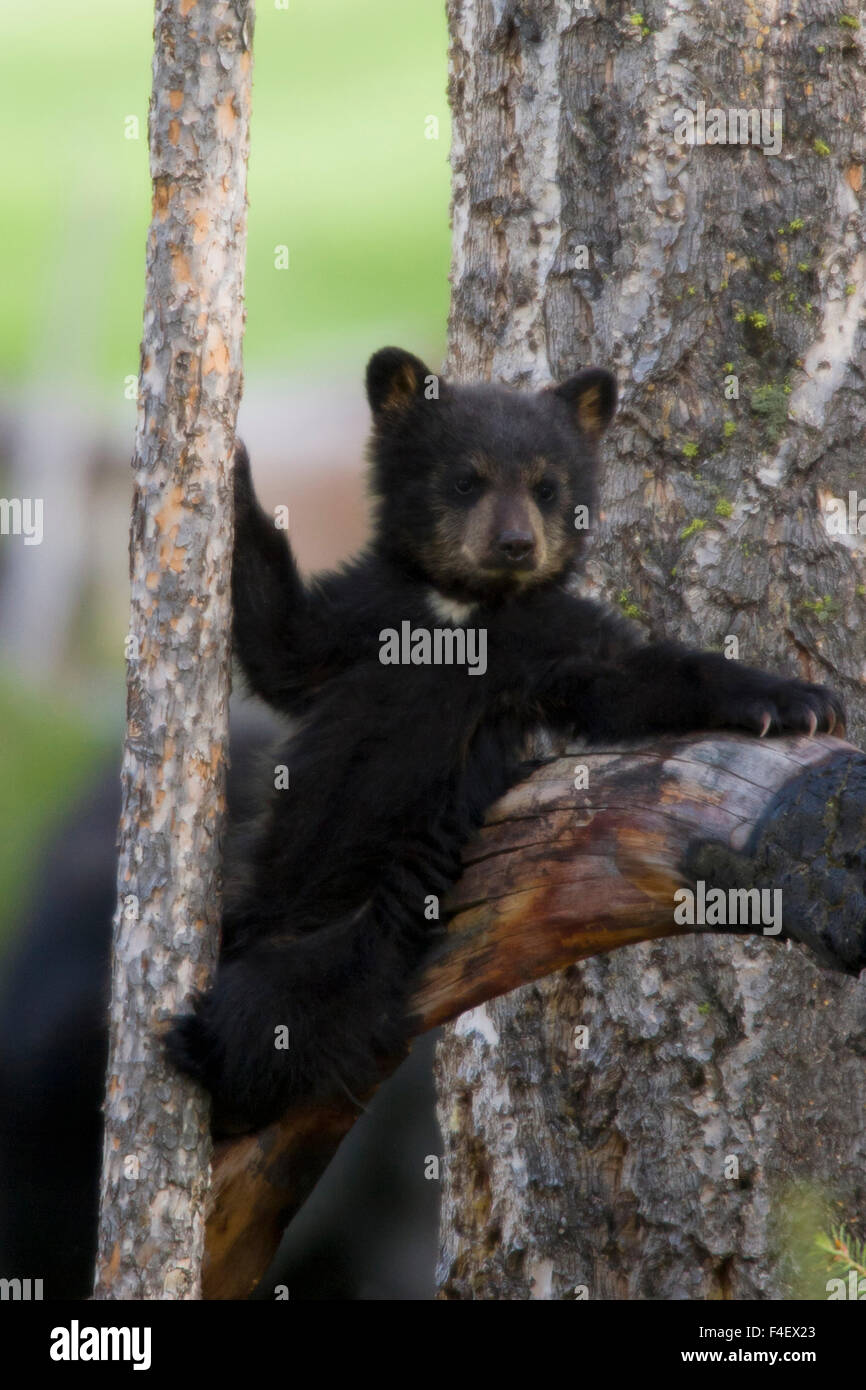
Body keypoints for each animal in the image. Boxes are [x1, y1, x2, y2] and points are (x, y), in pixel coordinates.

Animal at [166, 346, 844, 1135]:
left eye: (547, 487)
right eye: (467, 479)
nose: (517, 543)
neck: (464, 611)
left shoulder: (549, 641)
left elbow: (634, 677)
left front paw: (795, 699)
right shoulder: (364, 614)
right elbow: (283, 644)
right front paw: (232, 461)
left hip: (361, 934)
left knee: (273, 1014)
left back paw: (202, 1050)